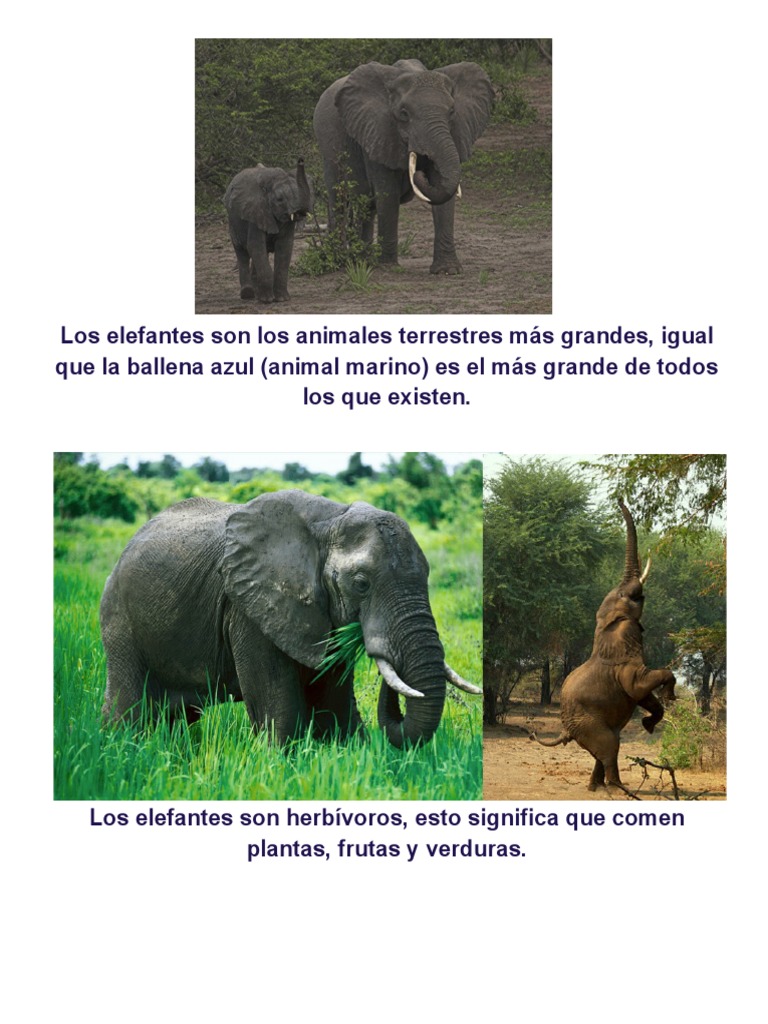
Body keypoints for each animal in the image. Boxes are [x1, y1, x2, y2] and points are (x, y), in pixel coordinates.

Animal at [100, 490, 480, 747]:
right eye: (361, 584)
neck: (331, 520)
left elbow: (332, 695)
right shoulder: (249, 606)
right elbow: (276, 703)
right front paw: (278, 762)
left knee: (180, 715)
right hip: (119, 619)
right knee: (127, 704)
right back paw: (119, 748)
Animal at [223, 158, 313, 302]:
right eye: (280, 200)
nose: (301, 160)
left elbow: (284, 248)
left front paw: (282, 299)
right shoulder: (255, 213)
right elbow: (255, 246)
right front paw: (267, 300)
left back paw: (256, 293)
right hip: (232, 223)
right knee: (242, 253)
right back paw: (248, 294)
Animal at [313, 59, 493, 275]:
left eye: (451, 112)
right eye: (404, 114)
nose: (418, 175)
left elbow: (442, 191)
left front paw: (447, 270)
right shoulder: (378, 132)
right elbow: (388, 193)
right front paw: (388, 268)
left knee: (367, 206)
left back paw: (363, 261)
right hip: (326, 141)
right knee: (339, 200)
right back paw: (339, 261)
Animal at [534, 501, 676, 793]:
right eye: (626, 595)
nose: (620, 497)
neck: (606, 623)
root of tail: (565, 729)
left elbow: (643, 696)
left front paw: (648, 725)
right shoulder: (625, 665)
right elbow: (640, 686)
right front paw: (669, 699)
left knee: (606, 748)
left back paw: (596, 787)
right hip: (588, 723)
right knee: (610, 748)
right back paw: (617, 790)